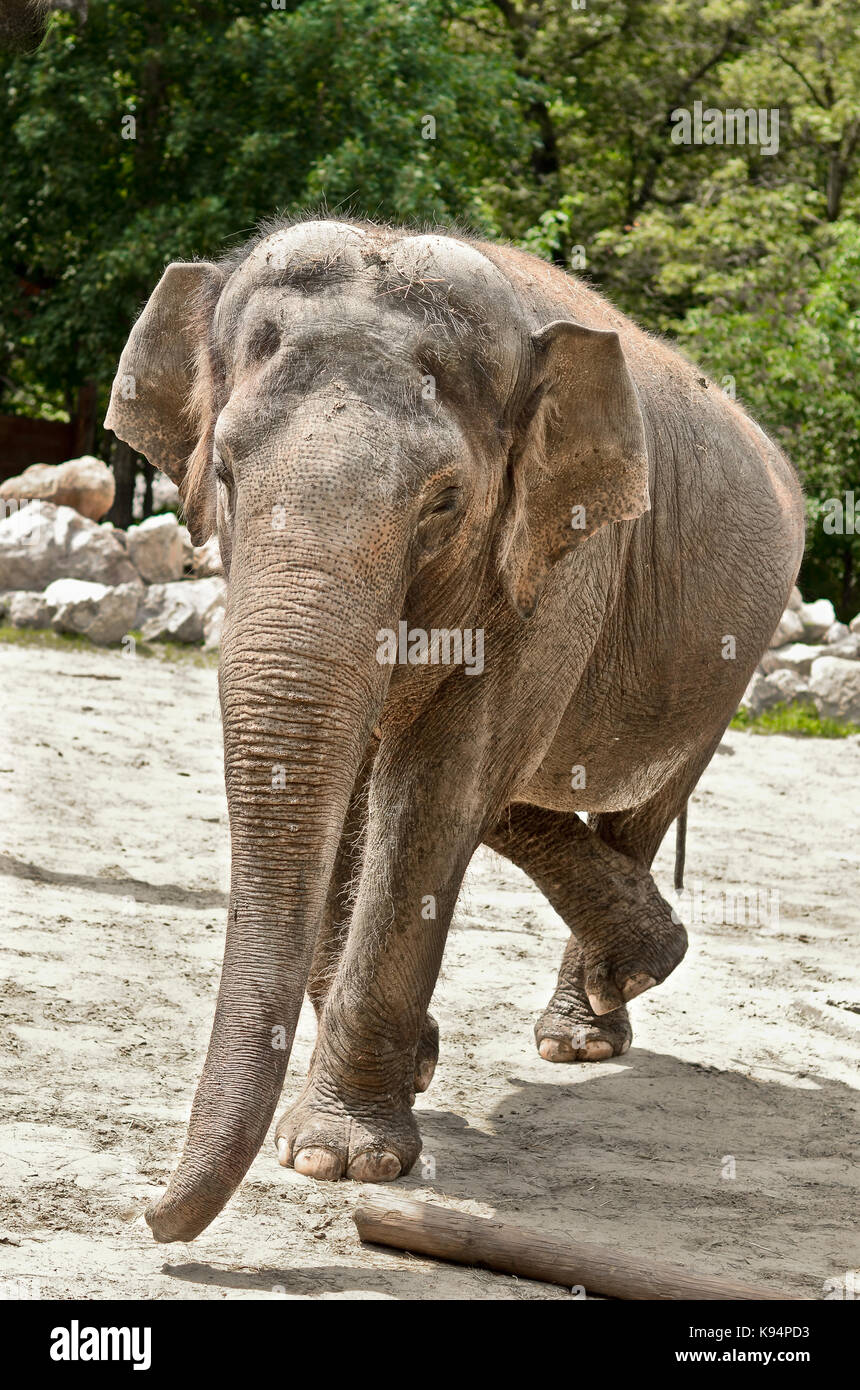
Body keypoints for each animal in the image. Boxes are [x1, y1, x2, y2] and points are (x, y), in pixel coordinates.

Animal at [105, 216, 805, 1242]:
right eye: (226, 473)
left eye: (442, 501)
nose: (154, 1220)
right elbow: (360, 785)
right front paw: (410, 1074)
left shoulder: (561, 563)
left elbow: (435, 792)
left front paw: (336, 1159)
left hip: (730, 654)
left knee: (636, 803)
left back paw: (590, 1023)